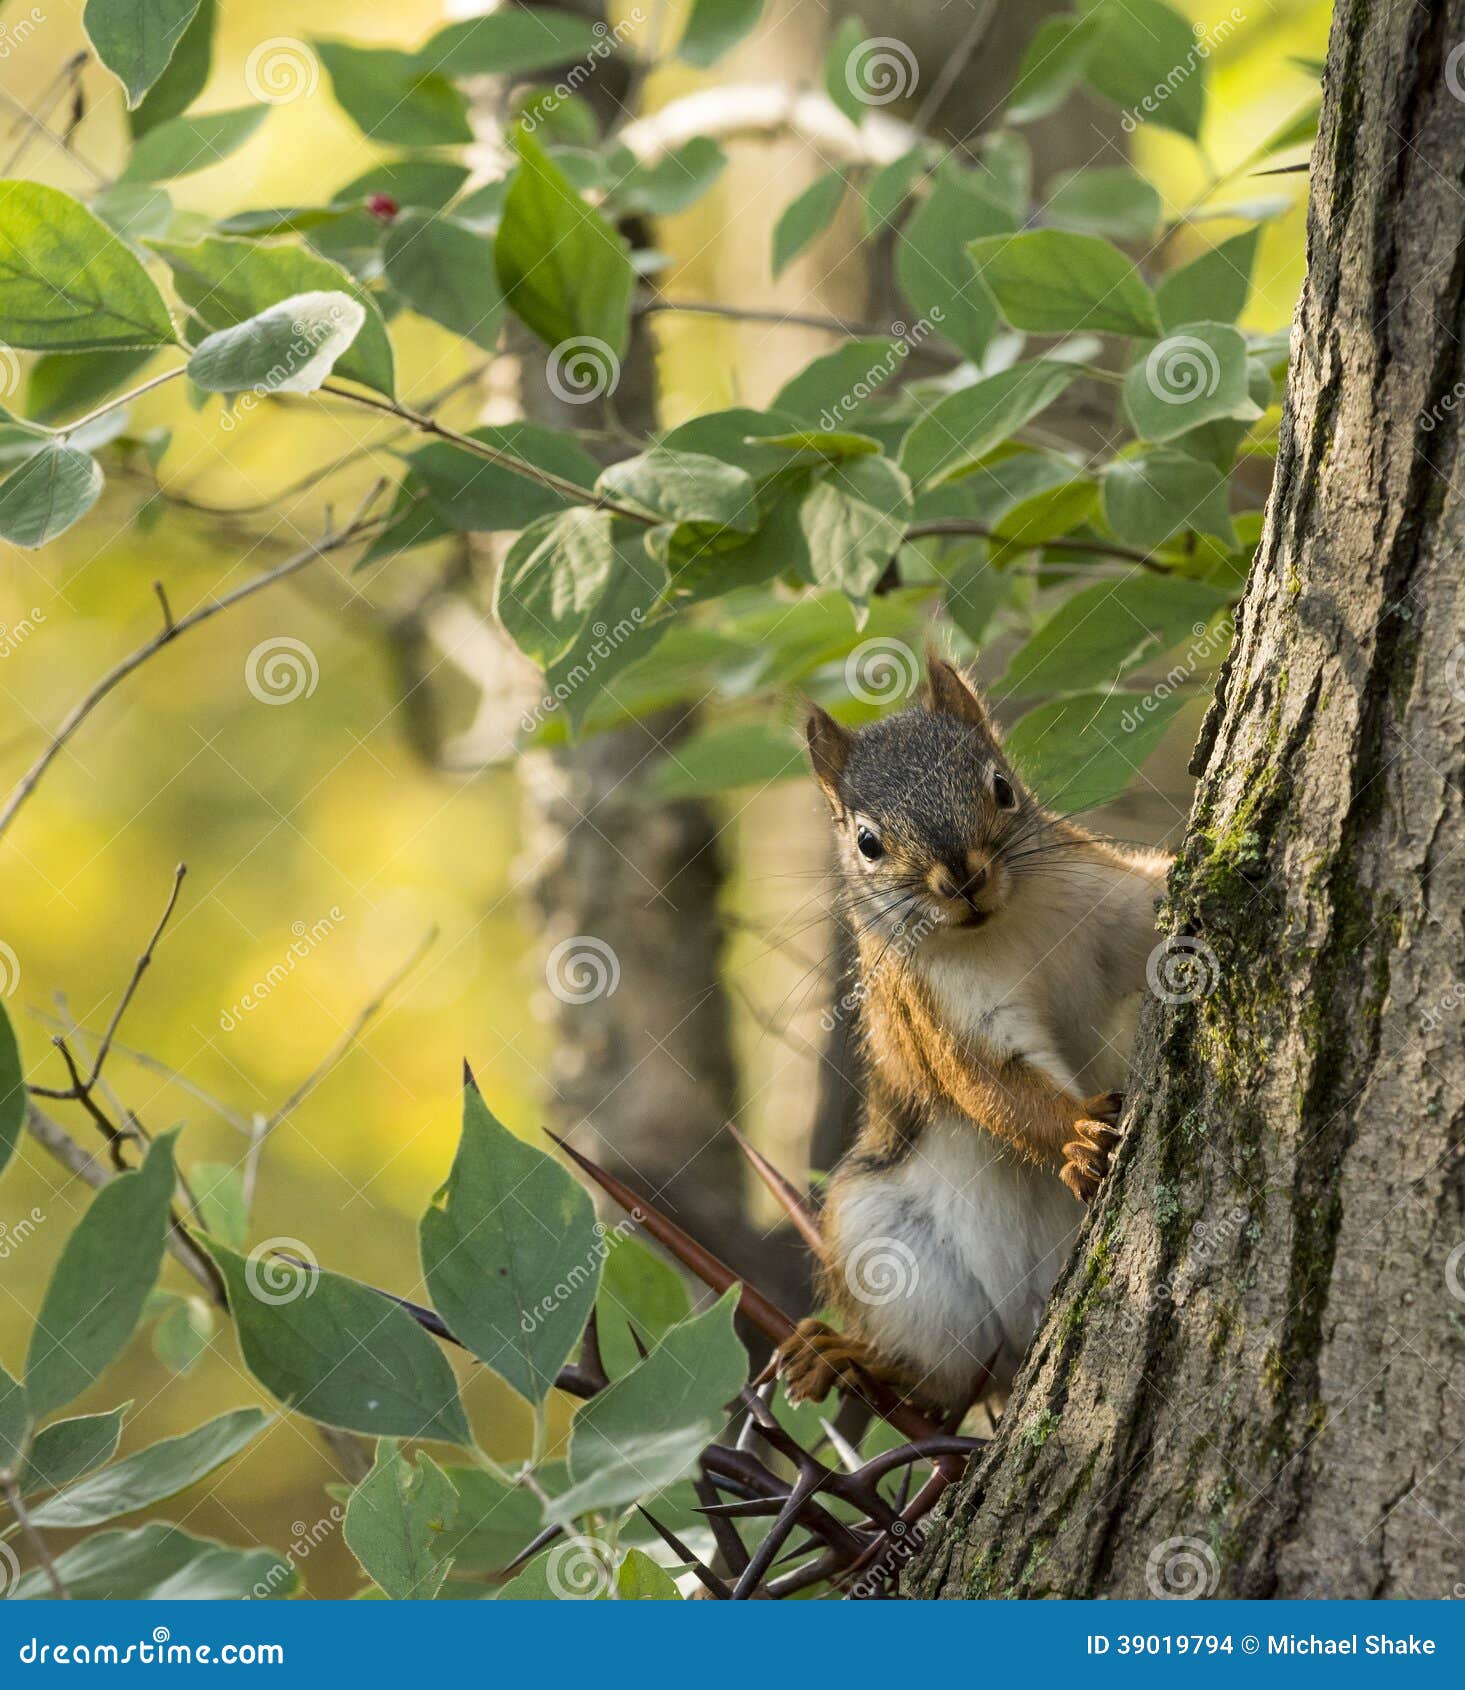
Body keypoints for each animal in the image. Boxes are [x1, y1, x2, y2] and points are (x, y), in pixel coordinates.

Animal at [776, 654, 1170, 1418]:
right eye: (867, 842)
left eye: (1001, 787)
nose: (962, 878)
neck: (1002, 929)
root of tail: (1018, 1351)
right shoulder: (942, 1013)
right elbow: (993, 1083)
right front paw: (1078, 1140)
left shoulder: (1107, 903)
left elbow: (1156, 904)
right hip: (886, 1245)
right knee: (941, 1379)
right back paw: (849, 1359)